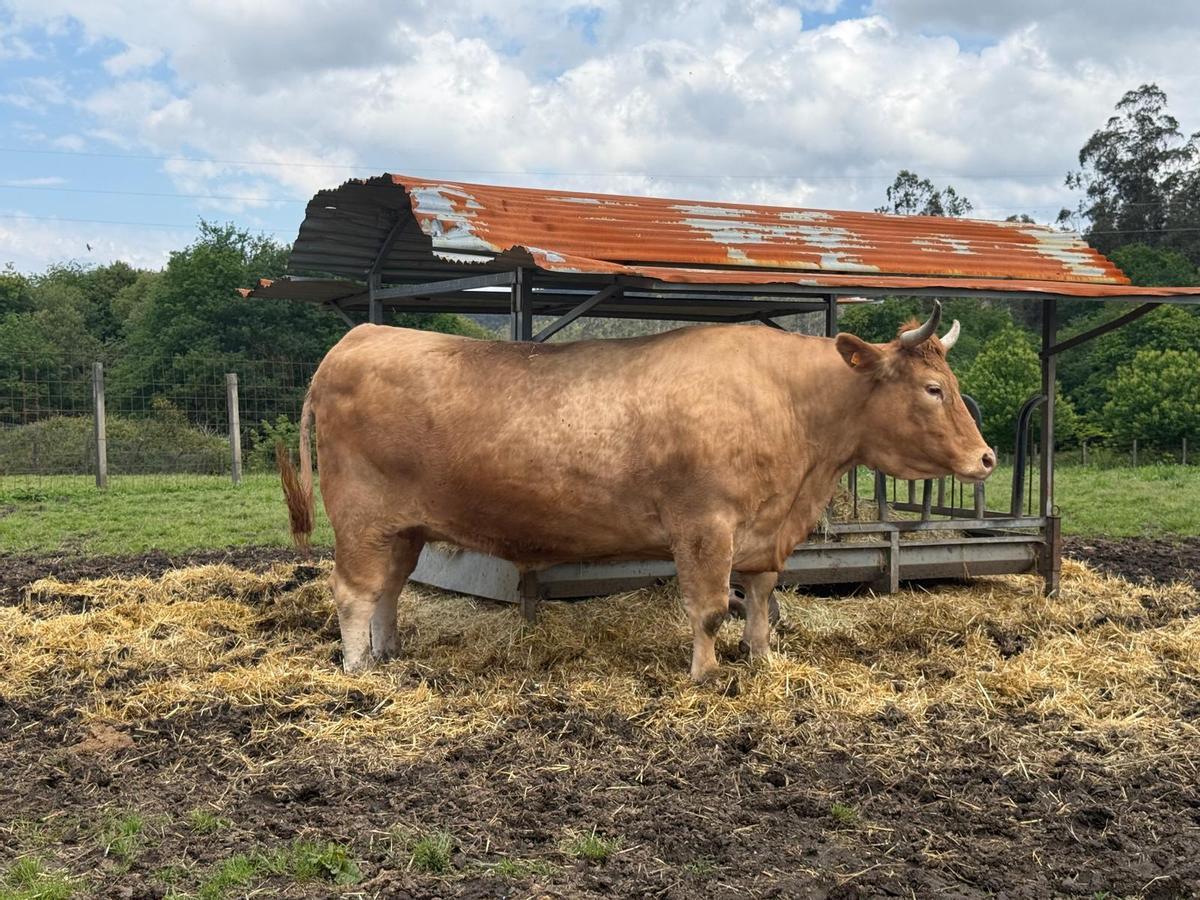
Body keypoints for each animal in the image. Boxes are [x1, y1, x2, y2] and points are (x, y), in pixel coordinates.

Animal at [278, 302, 993, 681]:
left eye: (952, 383)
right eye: (932, 389)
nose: (985, 458)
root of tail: (360, 336)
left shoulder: (764, 534)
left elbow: (761, 602)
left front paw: (760, 662)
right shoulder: (704, 525)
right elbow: (709, 607)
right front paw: (706, 675)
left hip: (403, 528)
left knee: (388, 591)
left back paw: (389, 655)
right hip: (362, 518)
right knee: (354, 591)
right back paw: (358, 671)